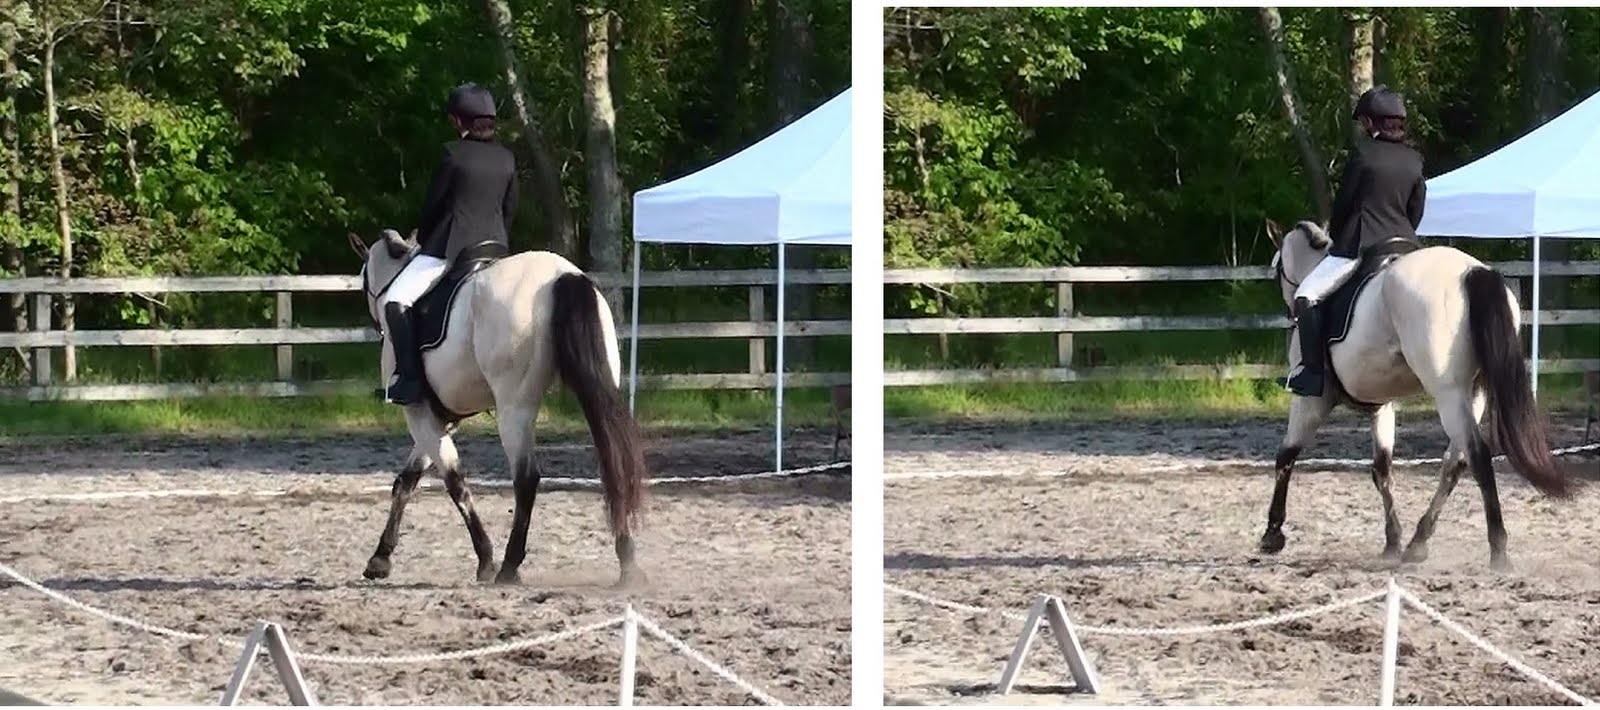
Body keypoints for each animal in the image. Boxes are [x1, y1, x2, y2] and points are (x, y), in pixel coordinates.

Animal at [346, 228, 647, 587]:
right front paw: (380, 558)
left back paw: (509, 566)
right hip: (598, 383)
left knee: (526, 479)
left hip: (513, 408)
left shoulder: (419, 414)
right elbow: (407, 480)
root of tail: (562, 275)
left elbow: (454, 483)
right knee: (612, 459)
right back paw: (628, 563)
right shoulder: (437, 418)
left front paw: (485, 559)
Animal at [1262, 219, 1575, 571]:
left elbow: (1286, 455)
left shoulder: (1312, 400)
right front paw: (1392, 541)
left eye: (1276, 271)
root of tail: (1473, 271)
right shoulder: (1381, 405)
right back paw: (1418, 542)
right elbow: (1382, 470)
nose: (1289, 309)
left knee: (1477, 456)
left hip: (1447, 392)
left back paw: (1498, 550)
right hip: (1475, 392)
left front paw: (1272, 533)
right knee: (1456, 461)